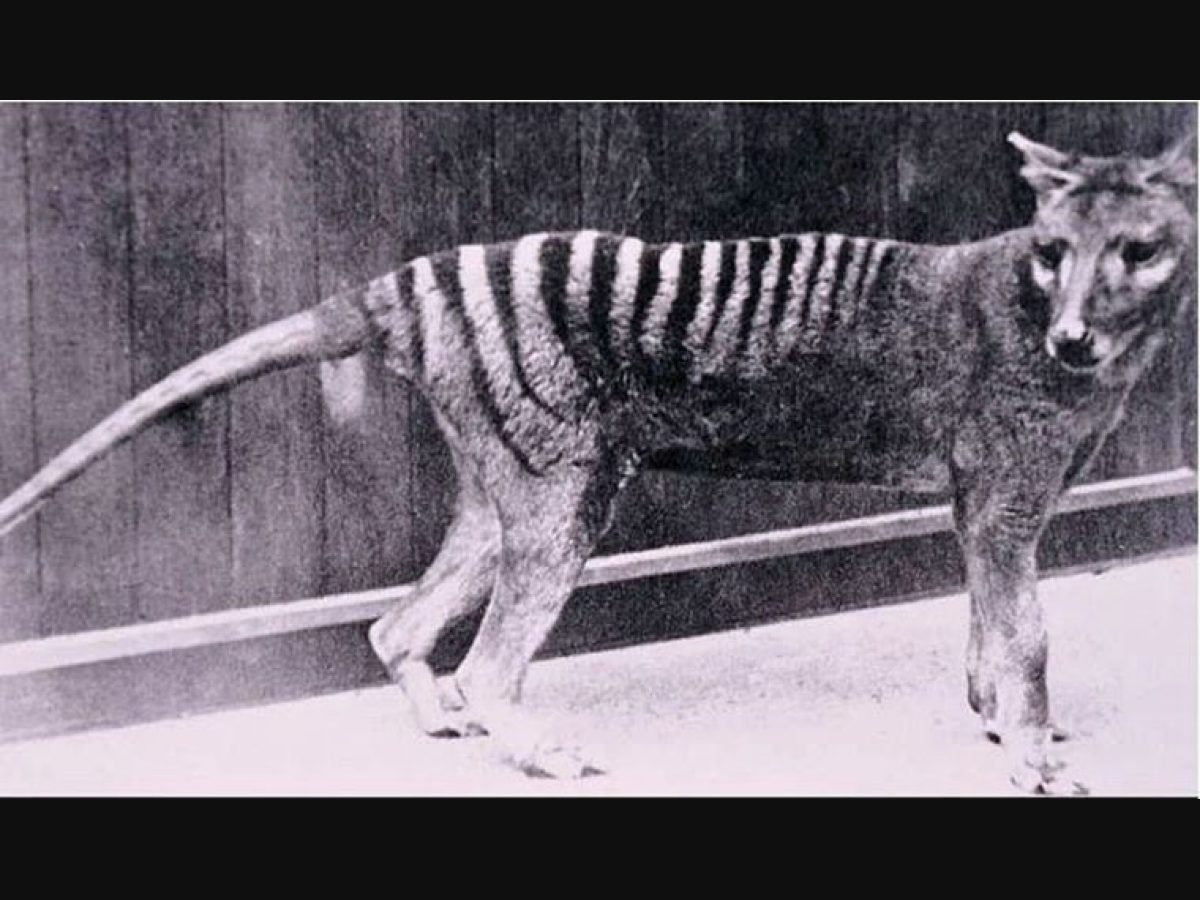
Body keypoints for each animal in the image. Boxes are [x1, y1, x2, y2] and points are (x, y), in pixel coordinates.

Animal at [0, 130, 1193, 794]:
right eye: (1055, 249)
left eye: (1136, 248)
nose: (1072, 340)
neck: (1033, 307)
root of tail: (399, 292)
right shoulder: (1004, 495)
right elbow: (1027, 630)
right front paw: (1033, 757)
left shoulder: (983, 500)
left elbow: (989, 621)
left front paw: (997, 717)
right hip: (562, 489)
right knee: (489, 663)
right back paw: (529, 746)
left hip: (510, 484)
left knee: (398, 625)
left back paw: (439, 712)